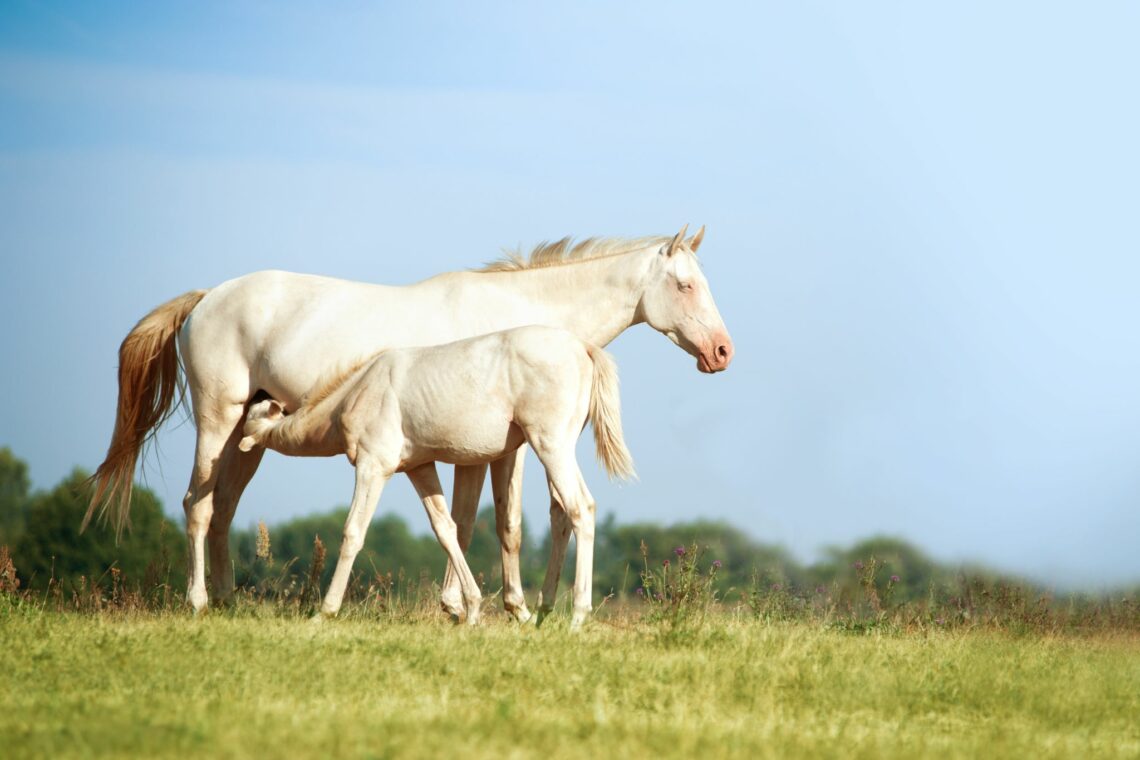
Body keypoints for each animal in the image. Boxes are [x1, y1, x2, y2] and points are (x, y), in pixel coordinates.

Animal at [236, 325, 634, 628]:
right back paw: (540, 613)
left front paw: (325, 612)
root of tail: (582, 348)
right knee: (563, 514)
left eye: (254, 414)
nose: (250, 401)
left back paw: (577, 616)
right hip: (555, 449)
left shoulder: (372, 466)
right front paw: (470, 609)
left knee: (581, 509)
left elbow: (353, 532)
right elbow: (447, 529)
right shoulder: (418, 467)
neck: (358, 391)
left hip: (550, 445)